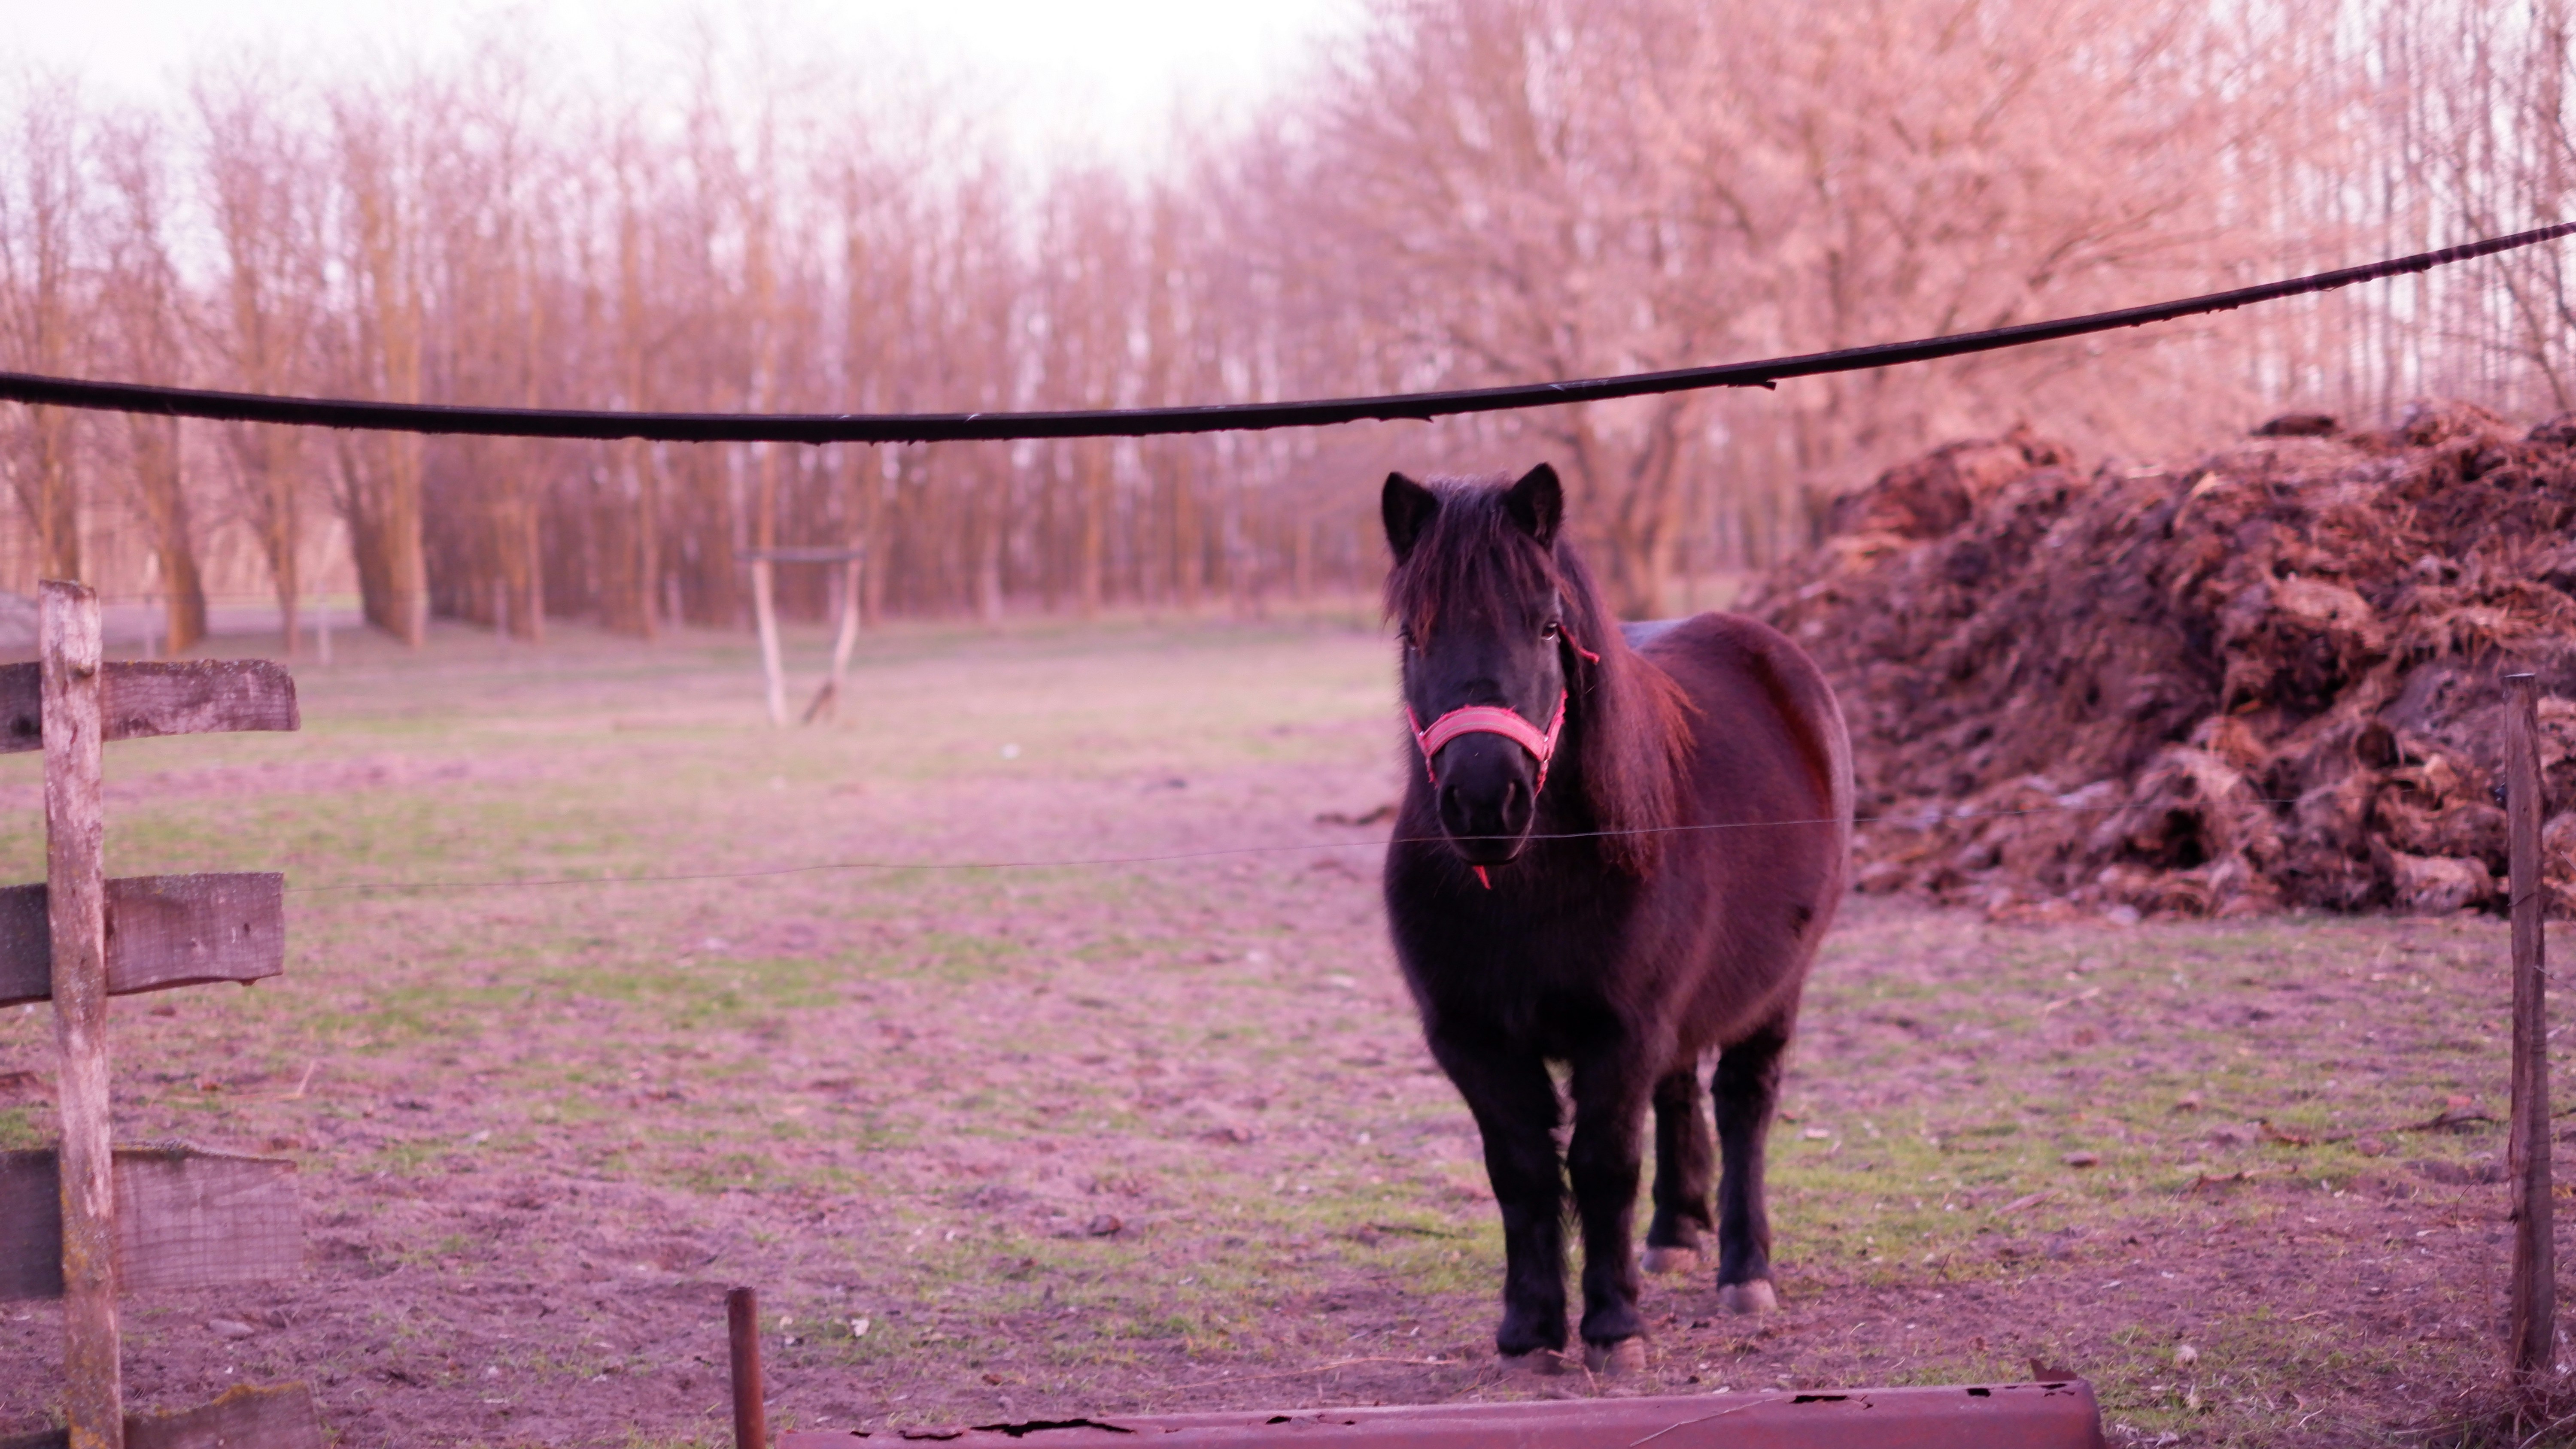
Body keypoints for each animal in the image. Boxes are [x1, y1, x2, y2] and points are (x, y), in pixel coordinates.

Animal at [1377, 464, 1853, 1374]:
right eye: (1414, 636)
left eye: (1547, 625)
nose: (1485, 801)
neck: (1526, 885)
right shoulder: (1471, 1038)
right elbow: (1522, 1170)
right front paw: (1529, 1330)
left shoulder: (1622, 1031)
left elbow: (1602, 1166)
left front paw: (1613, 1325)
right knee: (1680, 1087)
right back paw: (1675, 1232)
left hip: (1781, 983)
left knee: (1745, 1102)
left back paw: (1745, 1268)